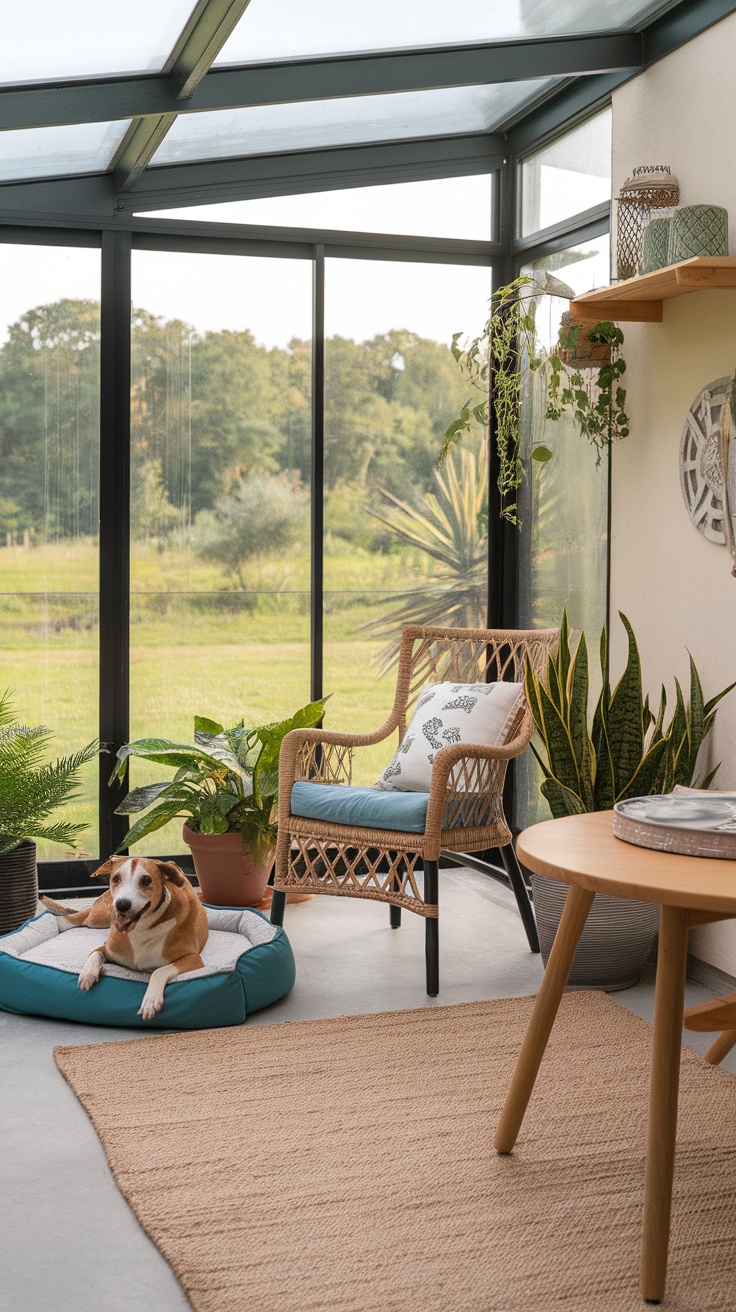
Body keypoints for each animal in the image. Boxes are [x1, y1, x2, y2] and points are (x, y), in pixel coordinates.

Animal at [42, 855, 207, 1018]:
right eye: (116, 878)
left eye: (146, 880)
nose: (122, 904)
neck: (141, 927)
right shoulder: (106, 948)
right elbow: (94, 954)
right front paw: (87, 974)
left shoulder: (193, 958)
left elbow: (159, 971)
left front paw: (150, 1001)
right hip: (99, 918)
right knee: (79, 918)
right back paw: (58, 922)